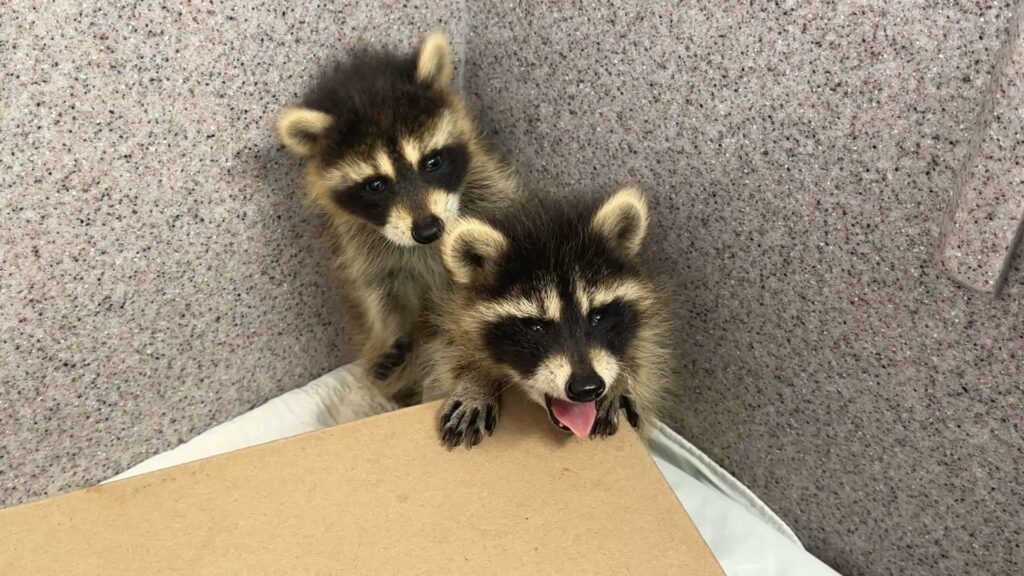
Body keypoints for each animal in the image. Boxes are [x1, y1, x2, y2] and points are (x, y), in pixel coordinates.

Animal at [275, 33, 518, 401]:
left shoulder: (489, 192)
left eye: (432, 162)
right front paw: (395, 332)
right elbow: (381, 292)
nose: (429, 230)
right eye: (376, 184)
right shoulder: (363, 245)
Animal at [428, 186, 669, 448]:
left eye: (597, 316)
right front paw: (477, 379)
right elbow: (452, 350)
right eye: (536, 326)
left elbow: (644, 352)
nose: (587, 388)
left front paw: (621, 382)